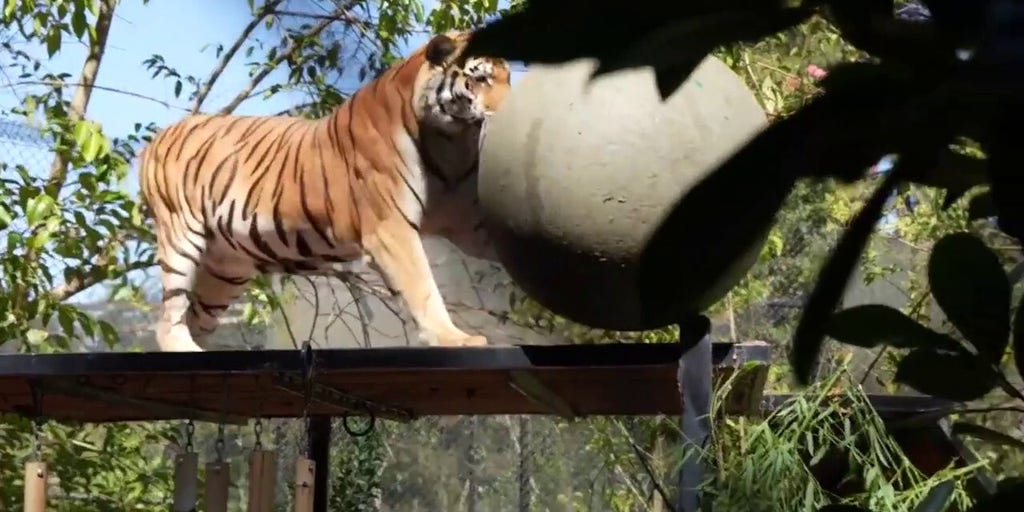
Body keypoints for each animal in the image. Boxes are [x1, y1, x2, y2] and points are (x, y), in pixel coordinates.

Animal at [138, 30, 512, 352]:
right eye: (480, 78)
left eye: (507, 78)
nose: (510, 112)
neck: (450, 141)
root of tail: (159, 136)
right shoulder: (390, 228)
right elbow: (423, 287)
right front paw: (453, 338)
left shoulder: (471, 224)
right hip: (181, 238)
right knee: (168, 319)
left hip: (225, 269)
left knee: (193, 317)